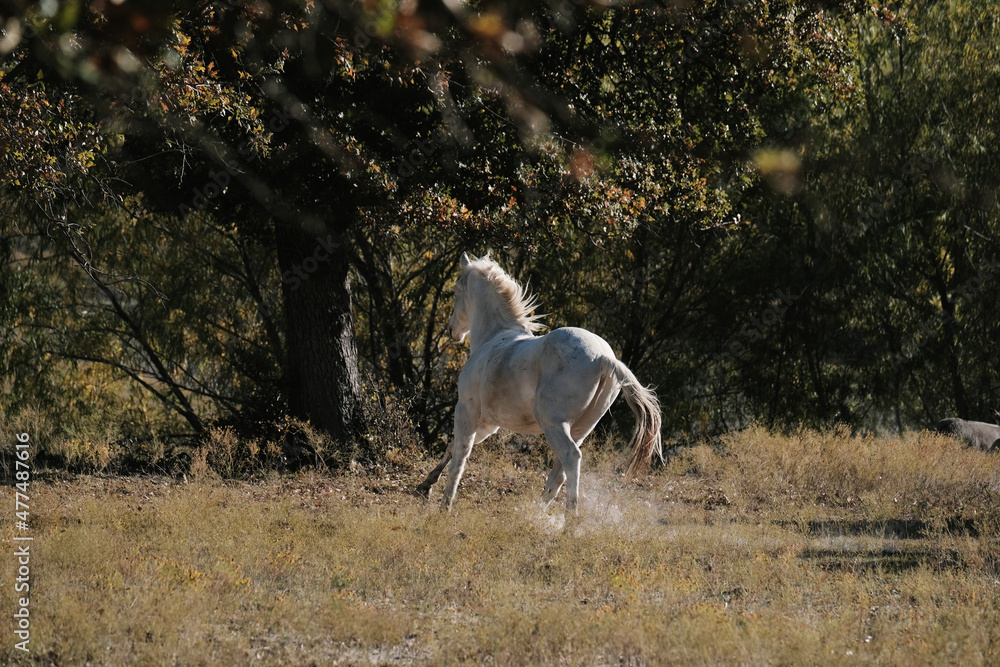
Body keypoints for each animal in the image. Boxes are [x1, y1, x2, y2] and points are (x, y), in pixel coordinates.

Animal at [417, 252, 663, 515]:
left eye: (455, 290)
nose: (452, 330)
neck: (494, 338)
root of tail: (603, 358)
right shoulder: (488, 423)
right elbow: (453, 447)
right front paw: (425, 486)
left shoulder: (466, 409)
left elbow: (460, 454)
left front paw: (445, 504)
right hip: (580, 429)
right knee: (559, 472)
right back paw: (534, 514)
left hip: (553, 423)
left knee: (570, 459)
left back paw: (569, 518)